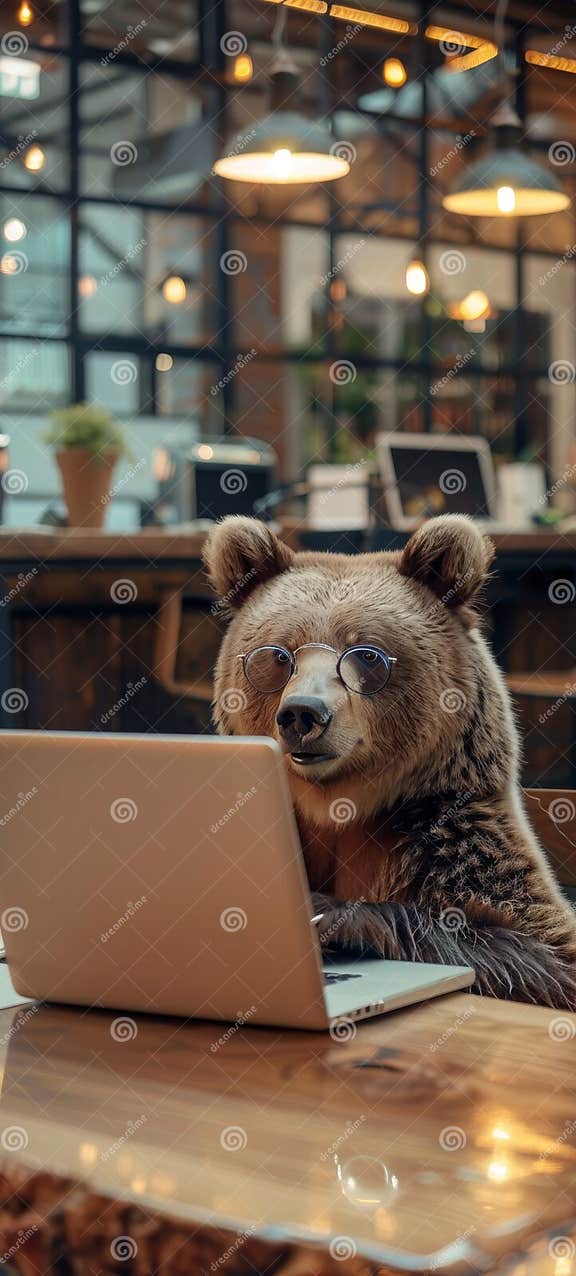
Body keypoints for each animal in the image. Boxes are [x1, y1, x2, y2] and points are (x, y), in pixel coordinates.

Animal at [203, 513, 576, 1009]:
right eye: (279, 654)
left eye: (365, 654)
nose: (302, 713)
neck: (339, 806)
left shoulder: (444, 836)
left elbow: (539, 952)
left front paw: (324, 911)